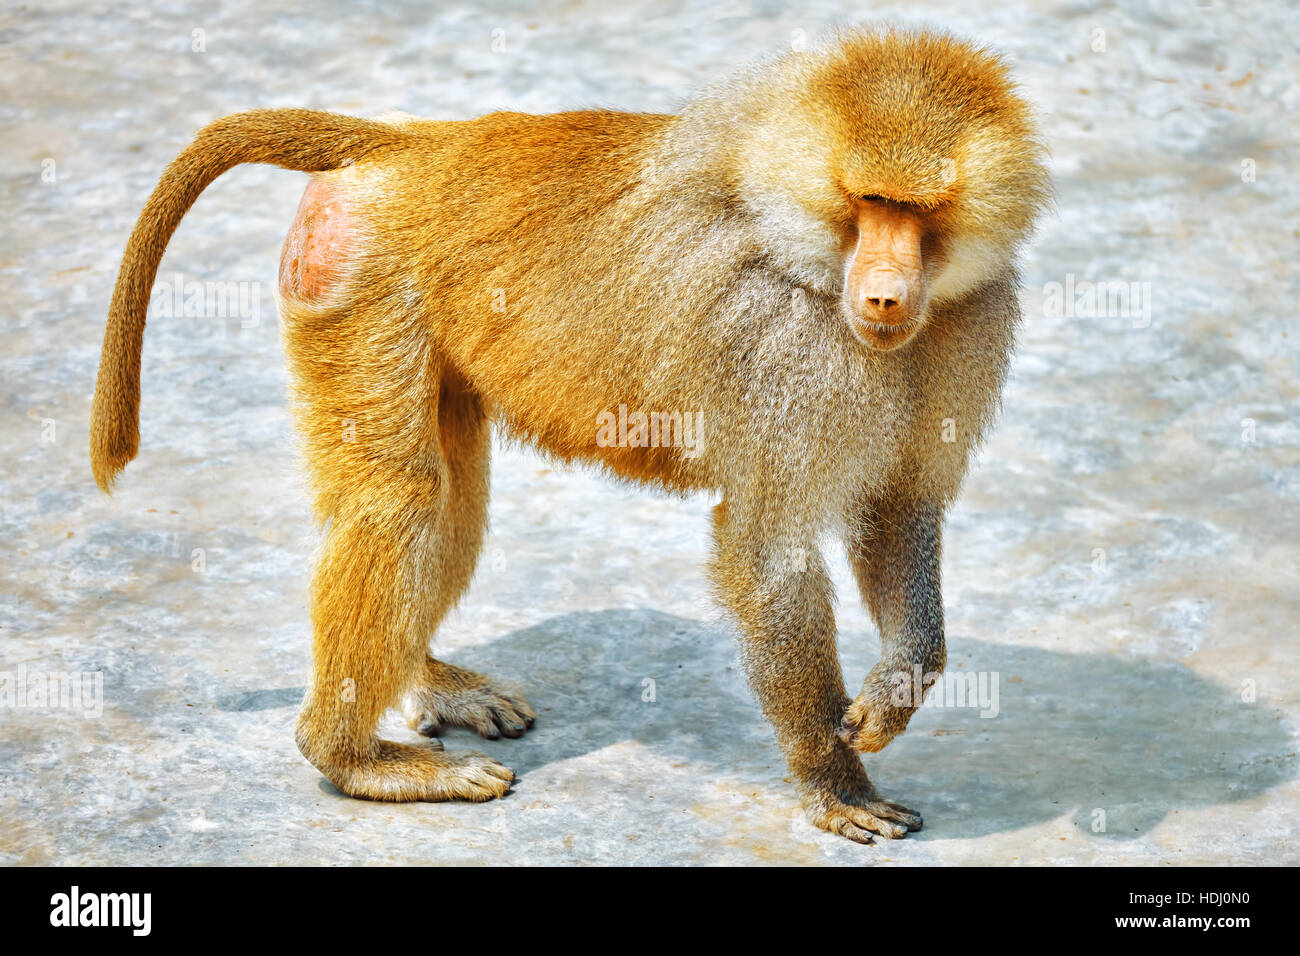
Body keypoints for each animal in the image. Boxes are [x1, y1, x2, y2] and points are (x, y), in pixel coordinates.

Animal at [90, 27, 1050, 843]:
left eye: (919, 211)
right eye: (871, 202)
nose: (885, 297)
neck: (802, 245)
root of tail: (409, 146)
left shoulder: (963, 324)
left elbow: (897, 506)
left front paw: (896, 690)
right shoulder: (783, 355)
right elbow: (767, 555)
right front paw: (835, 780)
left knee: (450, 510)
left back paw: (427, 684)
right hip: (358, 286)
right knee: (401, 502)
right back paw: (353, 758)